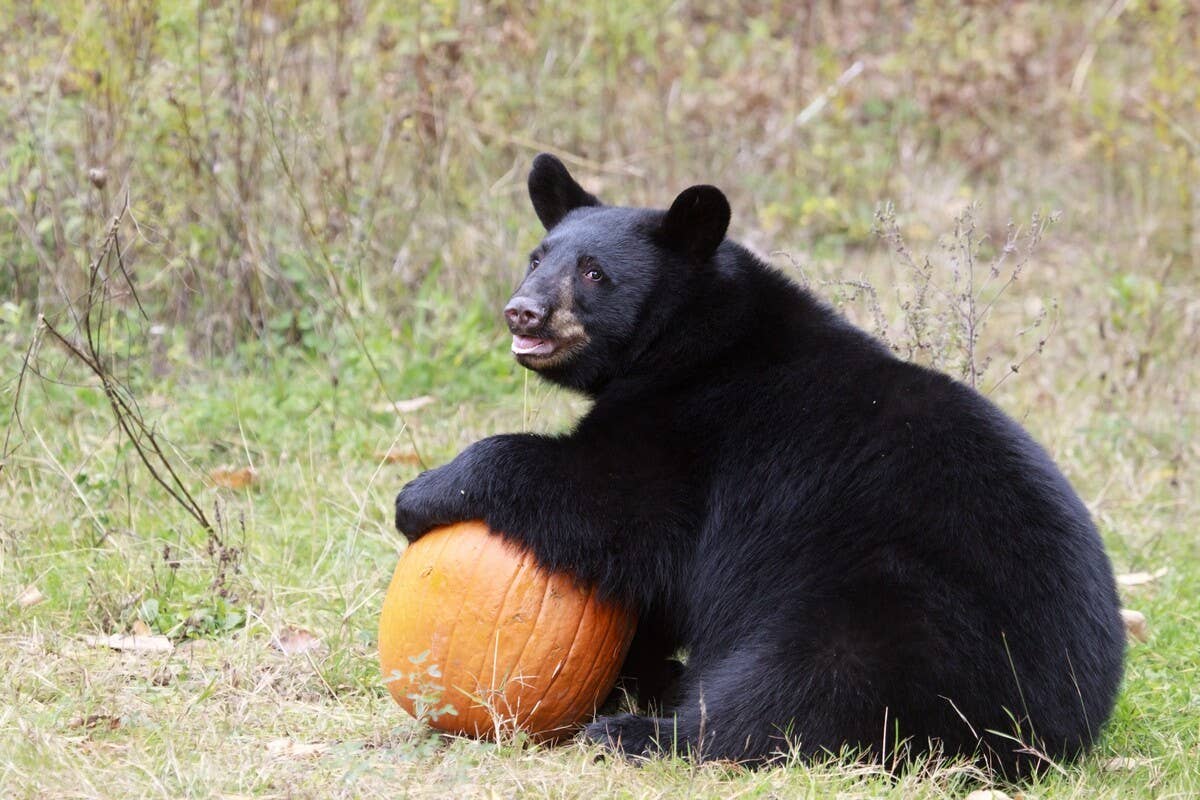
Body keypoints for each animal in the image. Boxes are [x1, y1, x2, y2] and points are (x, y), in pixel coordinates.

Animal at [393, 153, 1126, 778]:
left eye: (594, 273)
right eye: (537, 257)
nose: (523, 312)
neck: (690, 340)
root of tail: (1059, 728)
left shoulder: (698, 432)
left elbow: (615, 505)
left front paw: (419, 494)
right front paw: (638, 665)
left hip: (891, 611)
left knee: (794, 689)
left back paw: (635, 733)